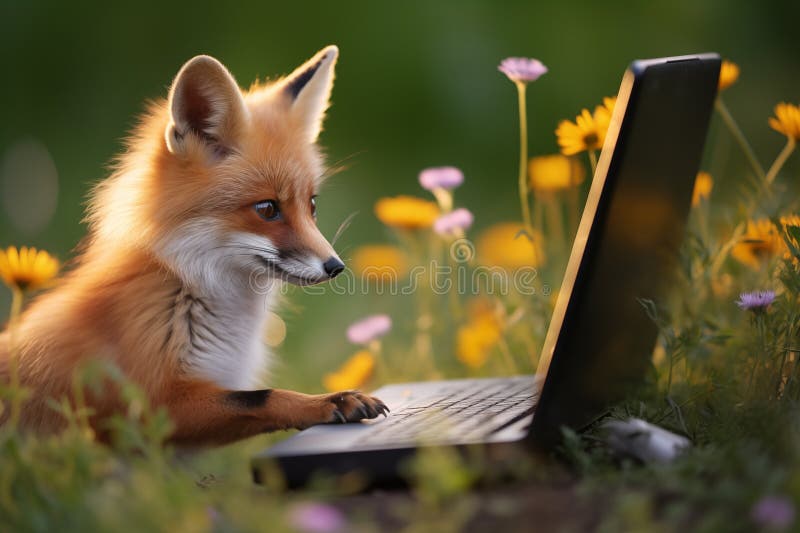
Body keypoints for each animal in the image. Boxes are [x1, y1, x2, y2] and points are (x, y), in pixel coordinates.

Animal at [0, 45, 388, 446]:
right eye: (267, 209)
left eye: (311, 205)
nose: (336, 266)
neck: (185, 289)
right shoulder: (153, 409)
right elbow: (261, 397)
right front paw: (329, 401)